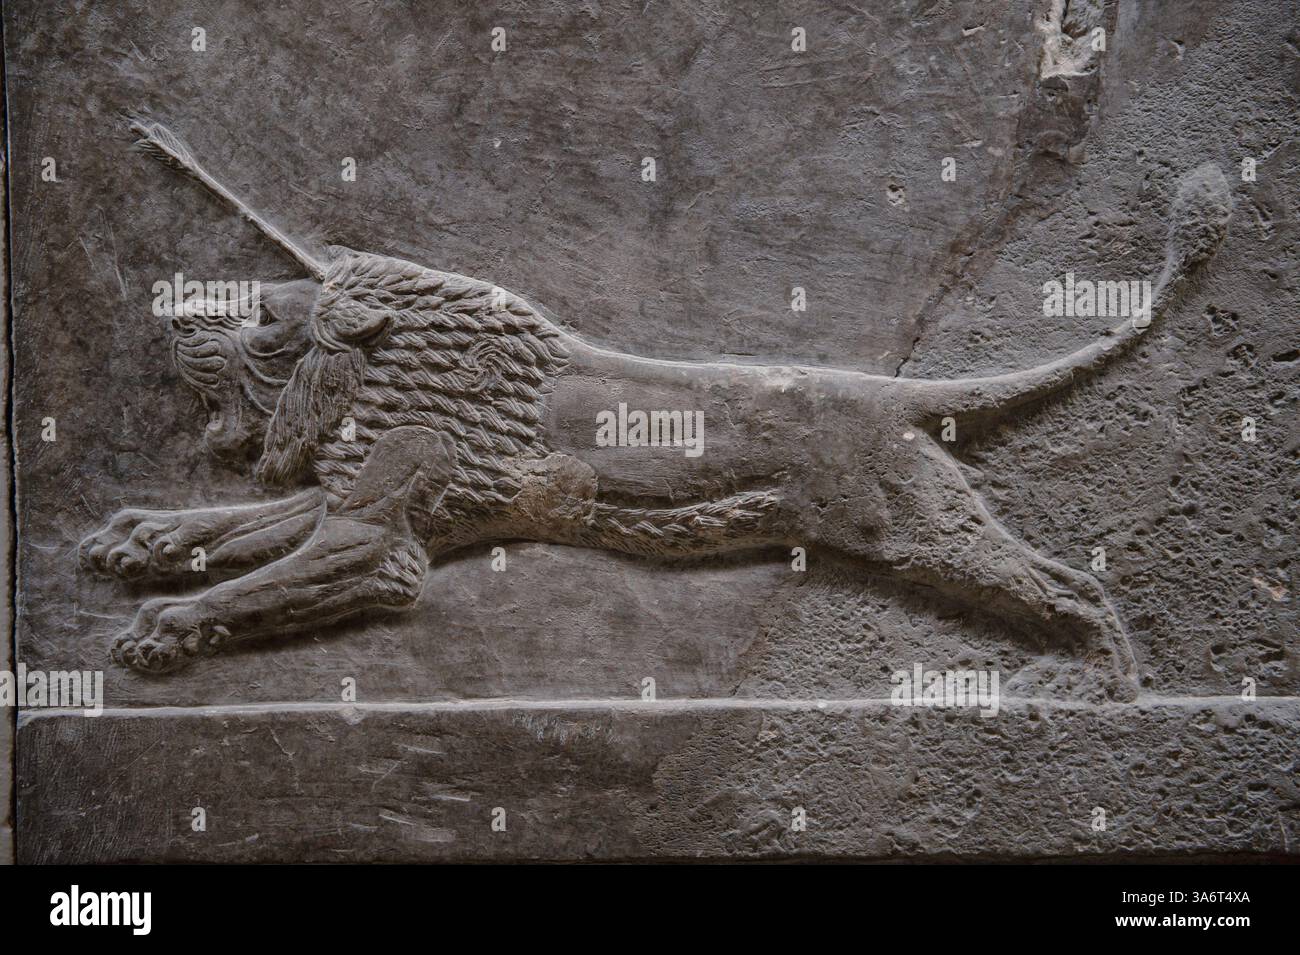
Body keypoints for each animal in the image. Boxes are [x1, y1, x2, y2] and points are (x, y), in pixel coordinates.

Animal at [80, 121, 1232, 701]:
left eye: (263, 316)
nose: (171, 313)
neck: (374, 377)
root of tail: (891, 389)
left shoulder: (377, 542)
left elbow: (258, 581)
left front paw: (162, 629)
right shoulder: (350, 500)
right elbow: (232, 526)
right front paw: (138, 538)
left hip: (920, 529)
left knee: (1070, 586)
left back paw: (1109, 696)